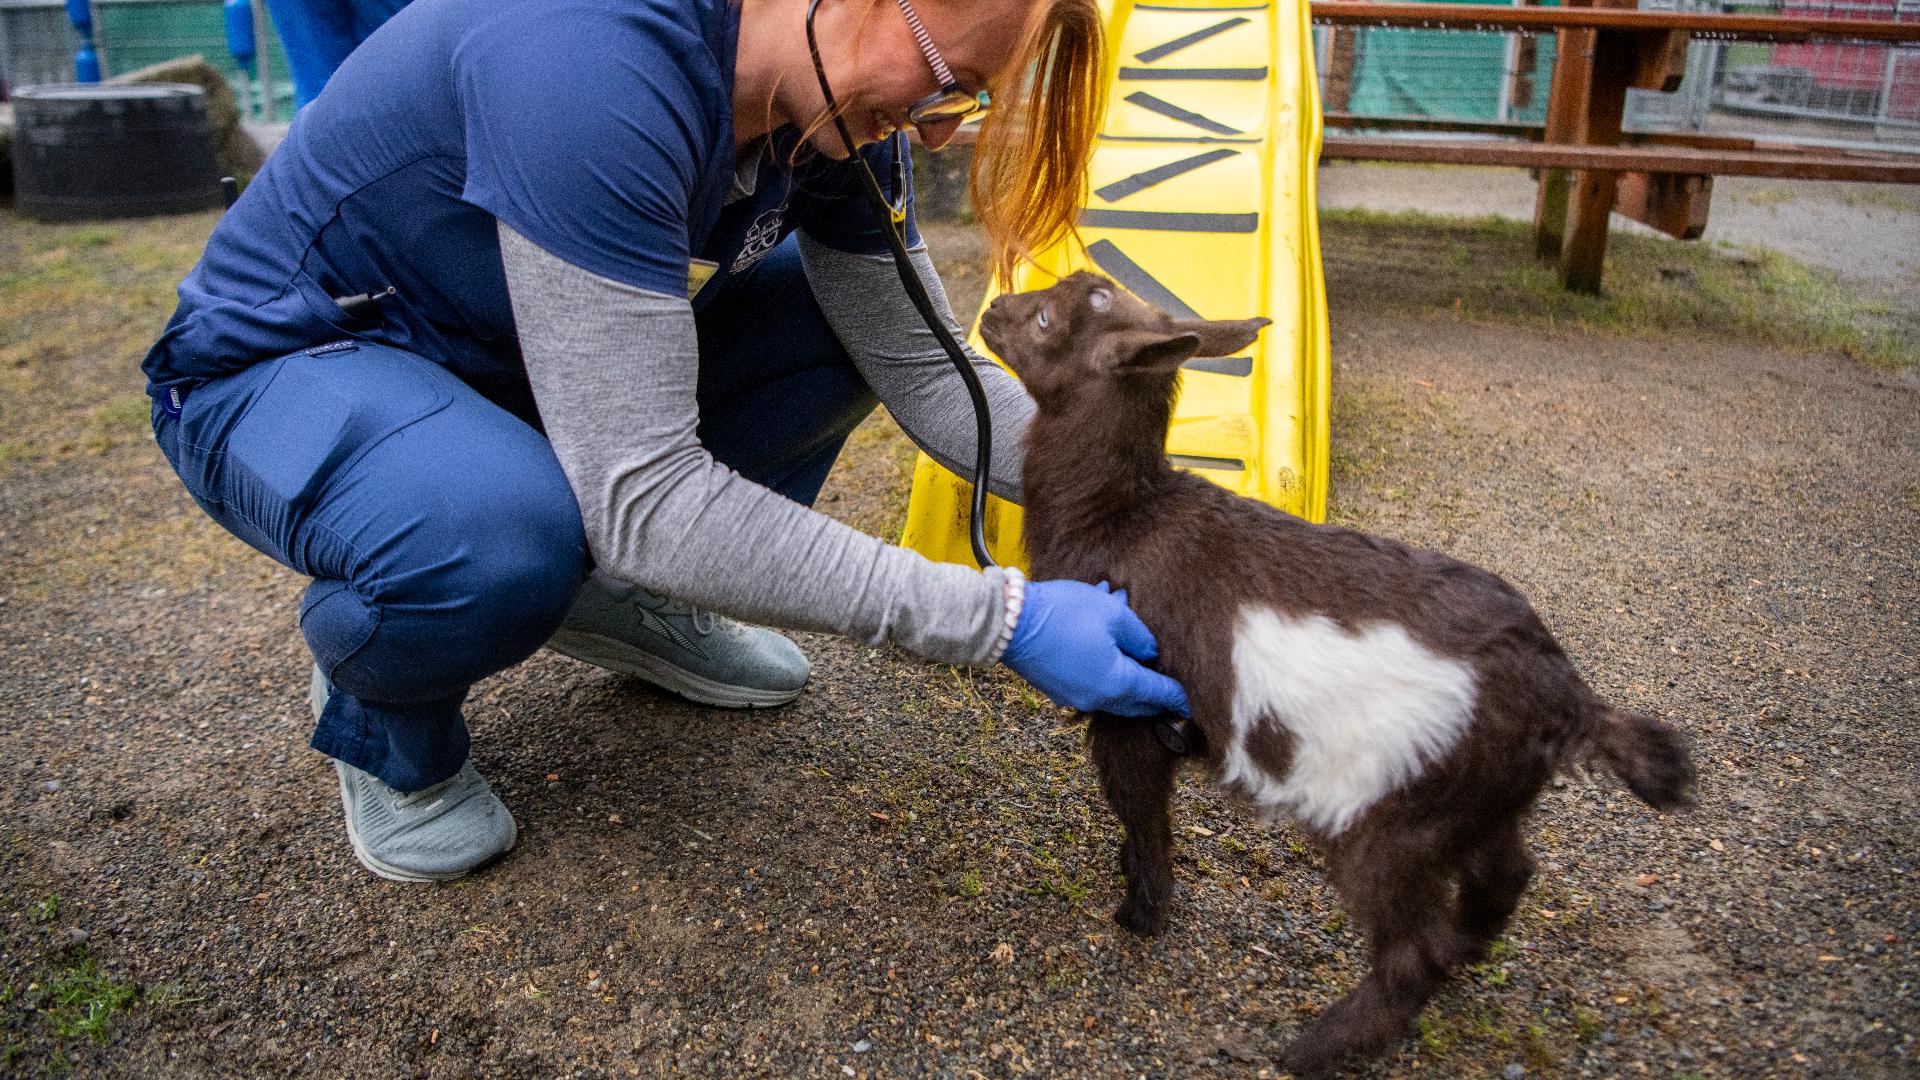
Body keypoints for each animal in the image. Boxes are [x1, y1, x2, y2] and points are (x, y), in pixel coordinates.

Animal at [979, 272, 1695, 1075]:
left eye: (1044, 319)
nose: (990, 313)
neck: (1117, 519)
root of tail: (1568, 700)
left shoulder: (1126, 707)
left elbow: (1142, 813)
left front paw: (1141, 912)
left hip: (1392, 819)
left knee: (1411, 949)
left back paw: (1317, 1046)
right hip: (1473, 801)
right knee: (1505, 872)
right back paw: (1461, 953)